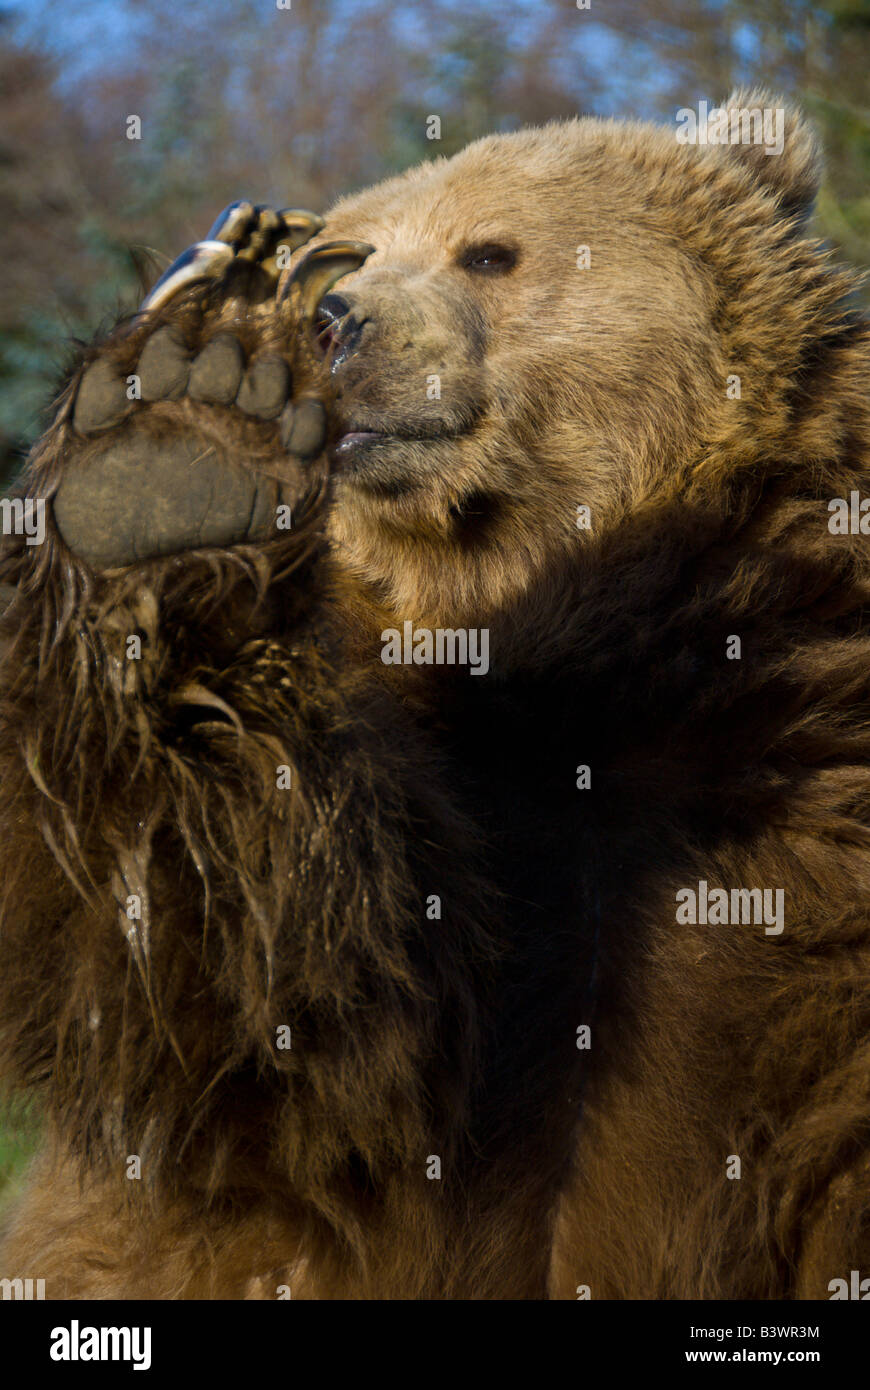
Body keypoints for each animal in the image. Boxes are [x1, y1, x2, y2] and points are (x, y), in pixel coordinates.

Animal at [0, 90, 869, 1300]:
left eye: (490, 251)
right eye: (343, 254)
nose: (334, 322)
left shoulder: (797, 754)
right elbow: (274, 1014)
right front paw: (178, 455)